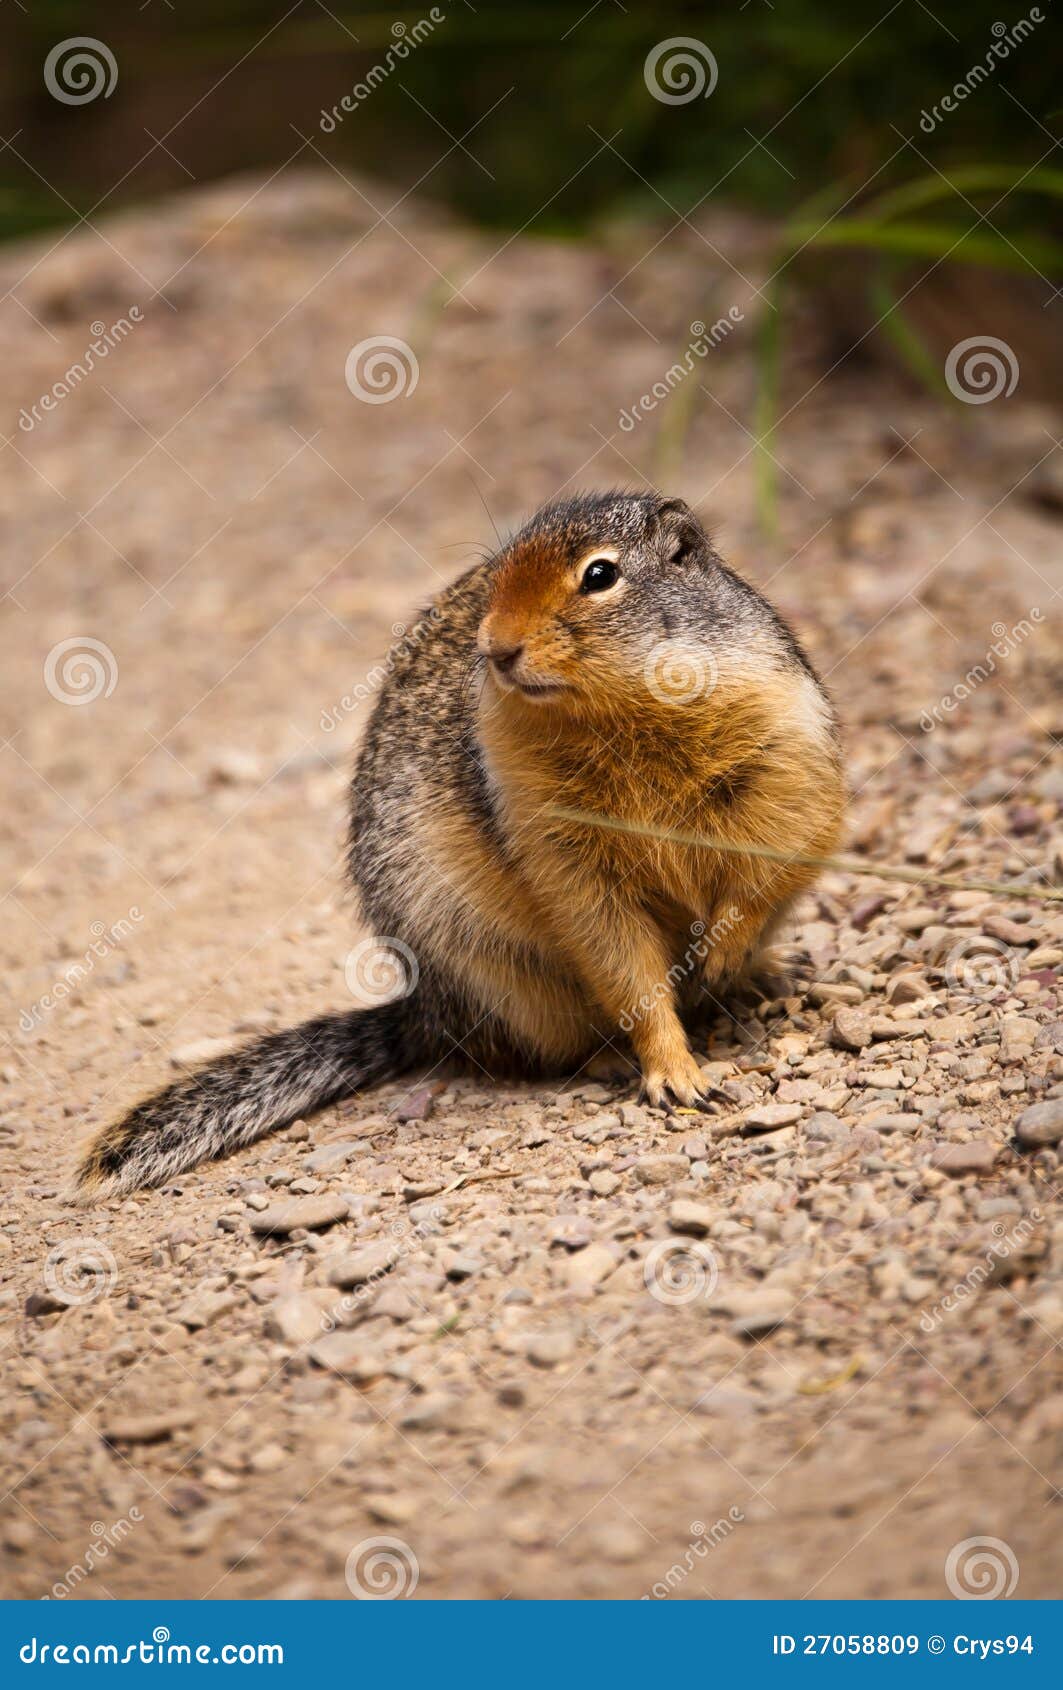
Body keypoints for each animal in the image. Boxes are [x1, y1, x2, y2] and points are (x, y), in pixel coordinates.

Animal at [76, 491, 845, 1197]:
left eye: (599, 575)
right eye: (498, 573)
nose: (495, 647)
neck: (627, 714)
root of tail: (421, 1012)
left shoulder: (785, 757)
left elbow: (775, 863)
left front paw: (726, 950)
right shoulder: (561, 852)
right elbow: (623, 965)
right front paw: (675, 1075)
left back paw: (772, 970)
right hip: (500, 979)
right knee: (524, 1050)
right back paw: (606, 1058)